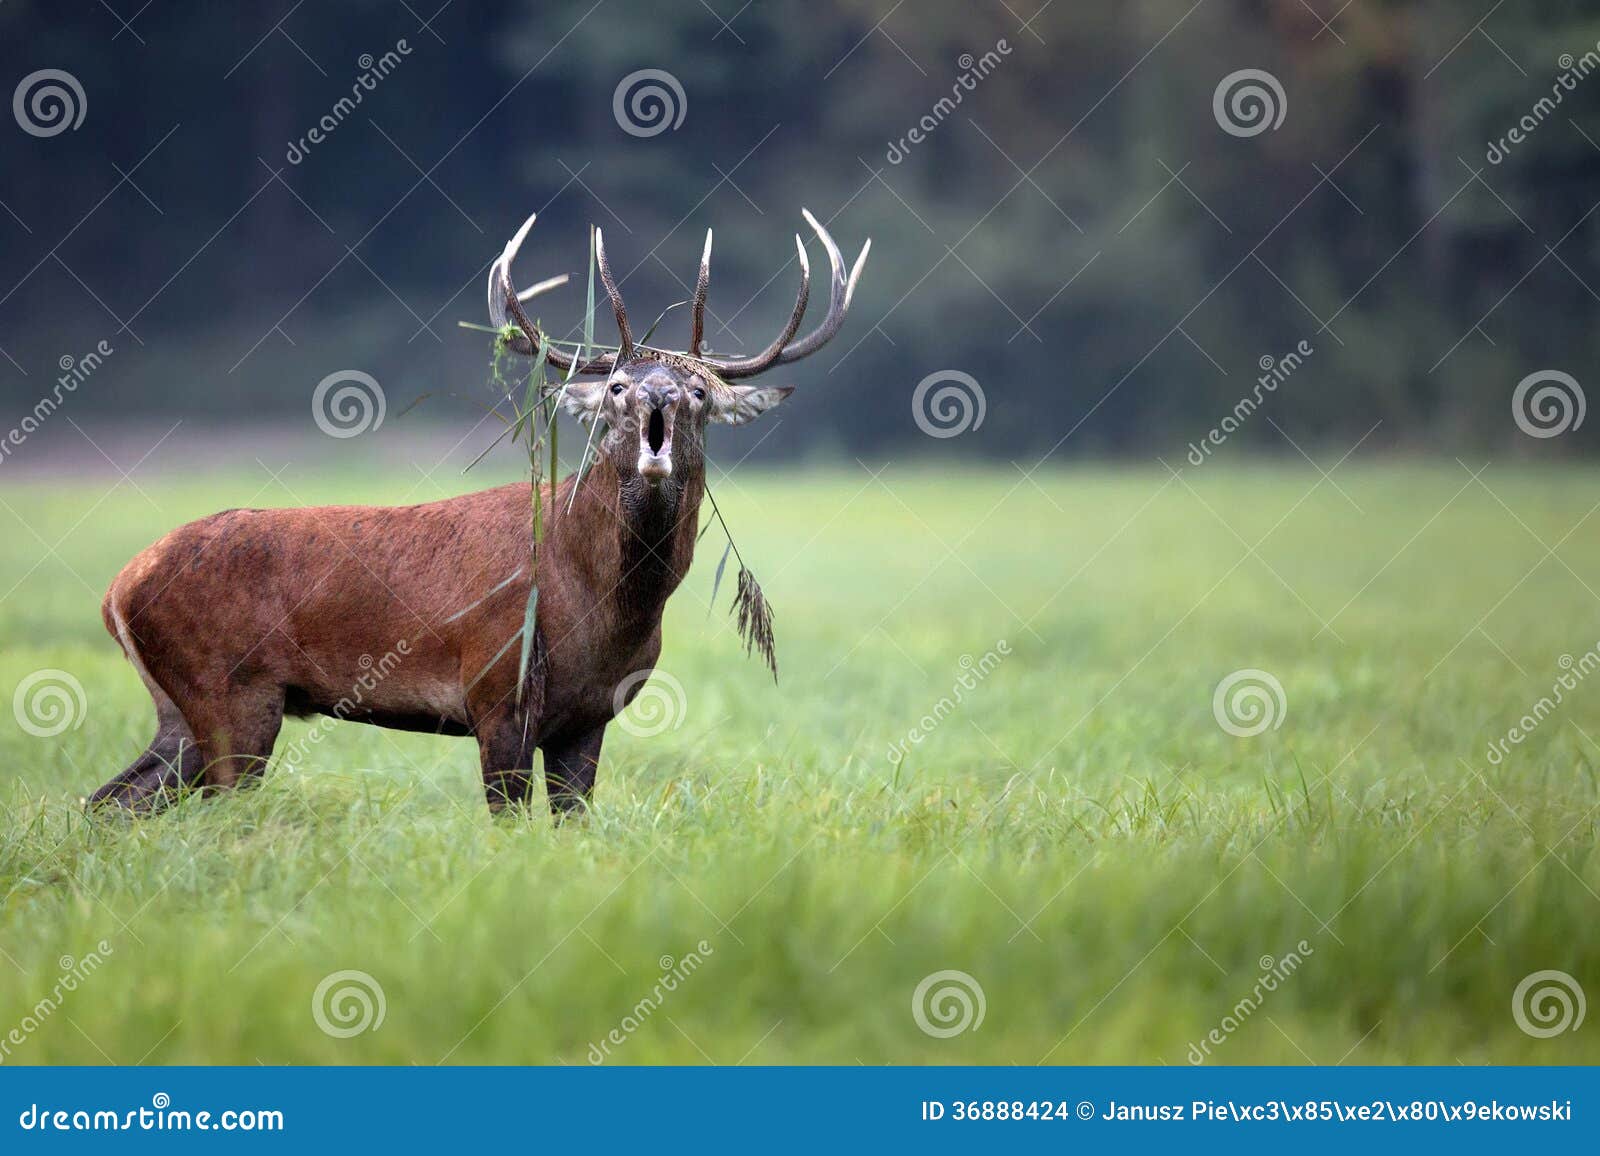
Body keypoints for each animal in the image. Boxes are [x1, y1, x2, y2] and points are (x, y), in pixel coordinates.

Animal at [88, 210, 868, 818]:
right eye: (617, 385)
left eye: (701, 390)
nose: (659, 396)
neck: (601, 605)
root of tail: (118, 587)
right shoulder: (495, 688)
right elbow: (507, 821)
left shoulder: (589, 717)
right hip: (230, 690)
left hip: (183, 708)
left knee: (112, 801)